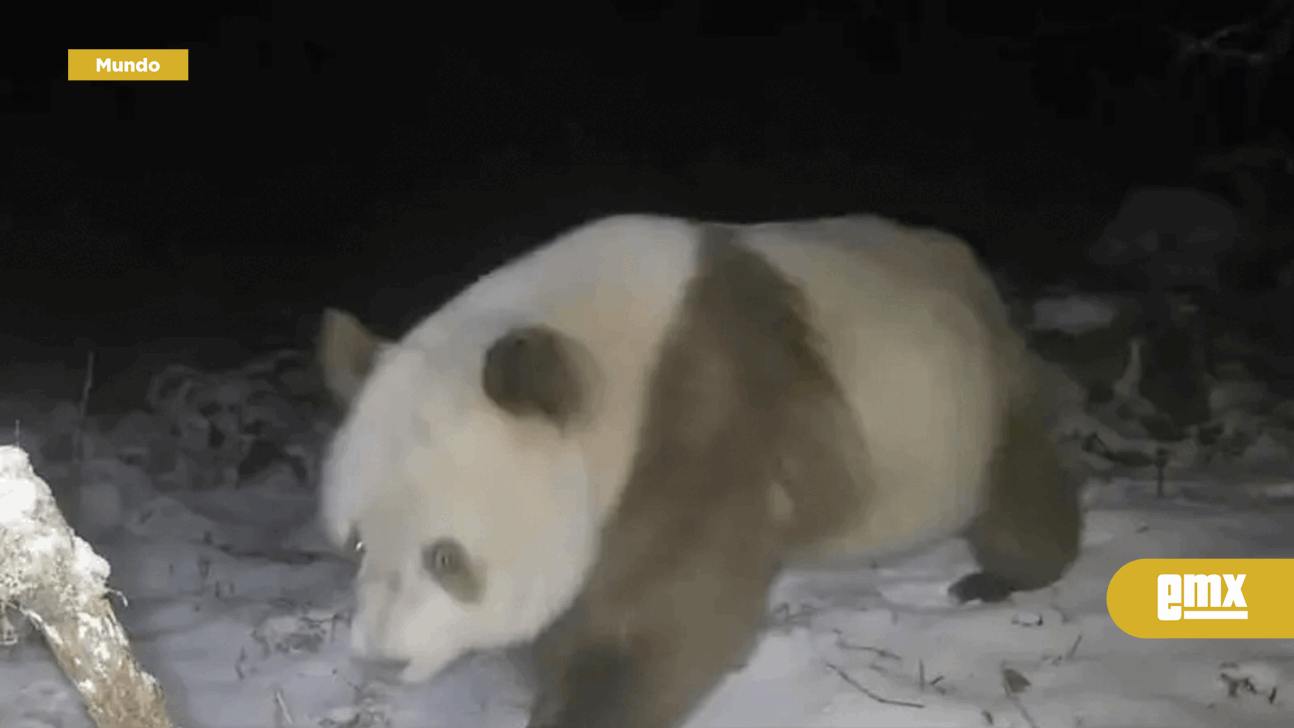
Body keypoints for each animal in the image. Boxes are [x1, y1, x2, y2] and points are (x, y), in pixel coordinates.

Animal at [317, 214, 1083, 728]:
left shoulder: (704, 413)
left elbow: (670, 609)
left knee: (1012, 482)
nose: (380, 660)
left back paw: (1004, 576)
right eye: (354, 542)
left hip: (967, 395)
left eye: (445, 557)